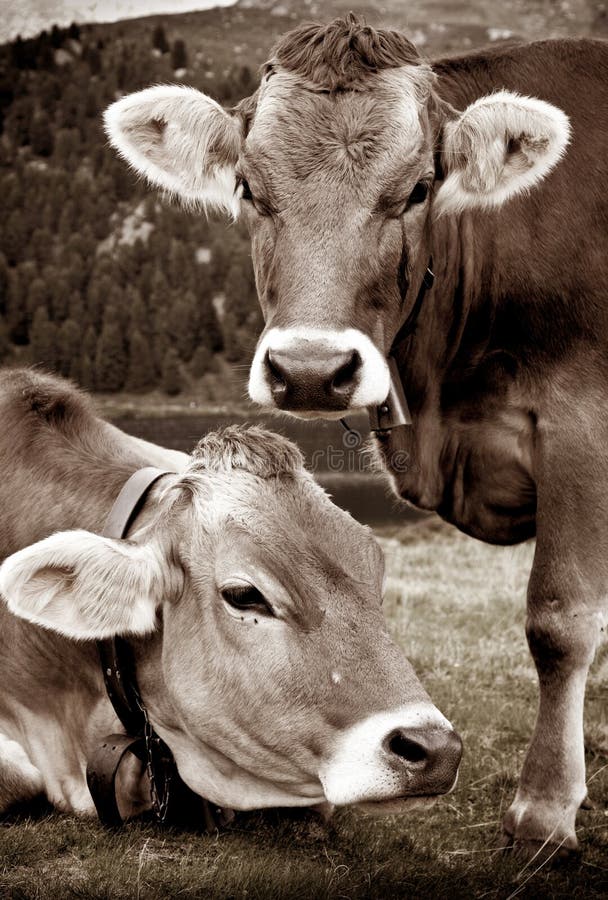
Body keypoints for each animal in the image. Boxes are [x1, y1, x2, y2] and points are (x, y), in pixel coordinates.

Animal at [103, 15, 608, 856]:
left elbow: (560, 617)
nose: (311, 370)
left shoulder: (583, 422)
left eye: (417, 189)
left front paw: (544, 812)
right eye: (249, 188)